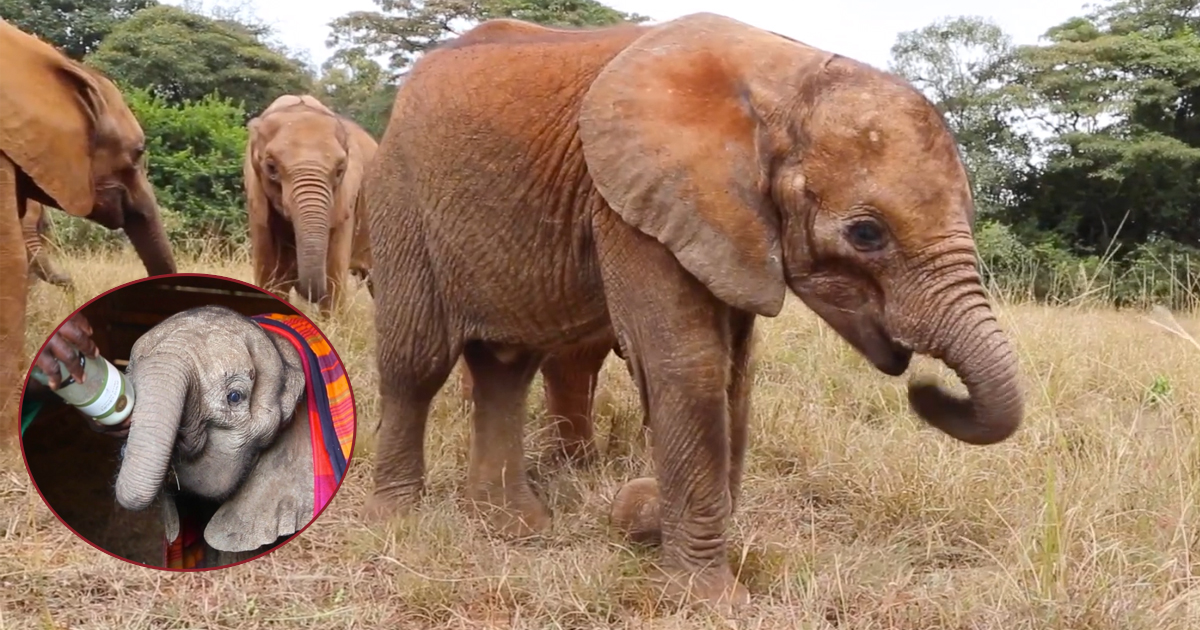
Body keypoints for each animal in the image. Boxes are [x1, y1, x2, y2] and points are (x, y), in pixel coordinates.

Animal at [360, 13, 1025, 608]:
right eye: (866, 234)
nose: (927, 389)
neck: (783, 81)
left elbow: (736, 374)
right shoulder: (632, 205)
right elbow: (690, 366)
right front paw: (712, 603)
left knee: (506, 365)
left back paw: (514, 526)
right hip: (400, 199)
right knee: (416, 361)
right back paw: (398, 521)